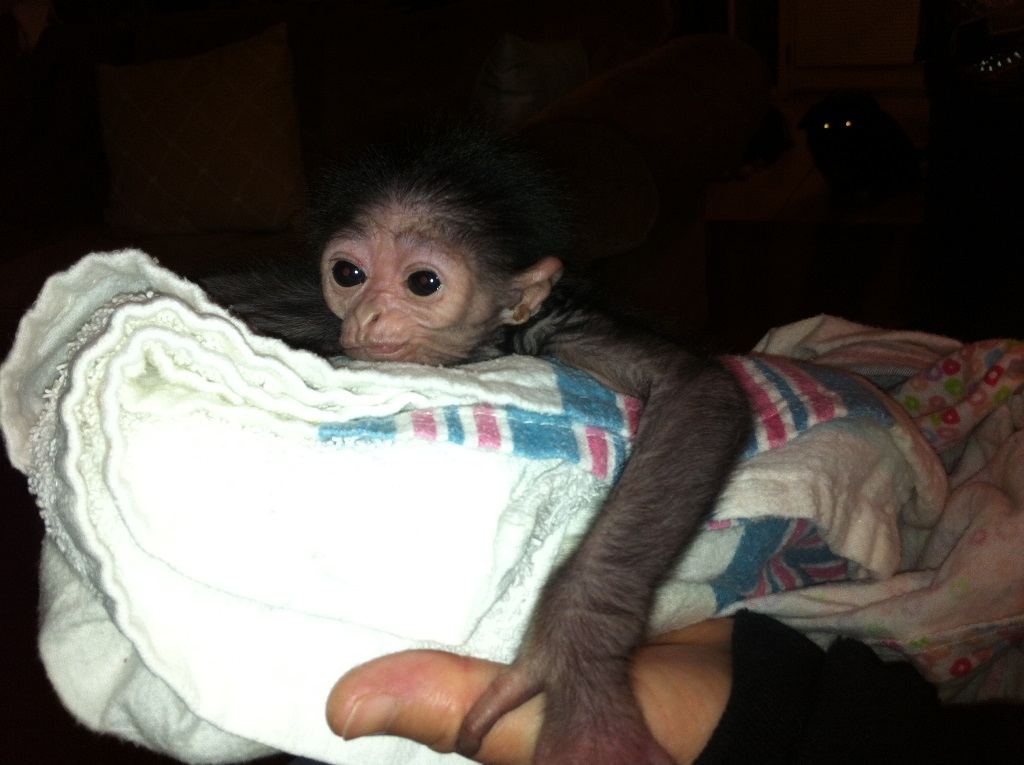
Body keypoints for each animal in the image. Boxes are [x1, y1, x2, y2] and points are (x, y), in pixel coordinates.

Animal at [204, 120, 751, 765]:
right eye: (348, 275)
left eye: (423, 283)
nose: (367, 317)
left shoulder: (554, 322)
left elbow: (699, 392)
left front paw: (579, 661)